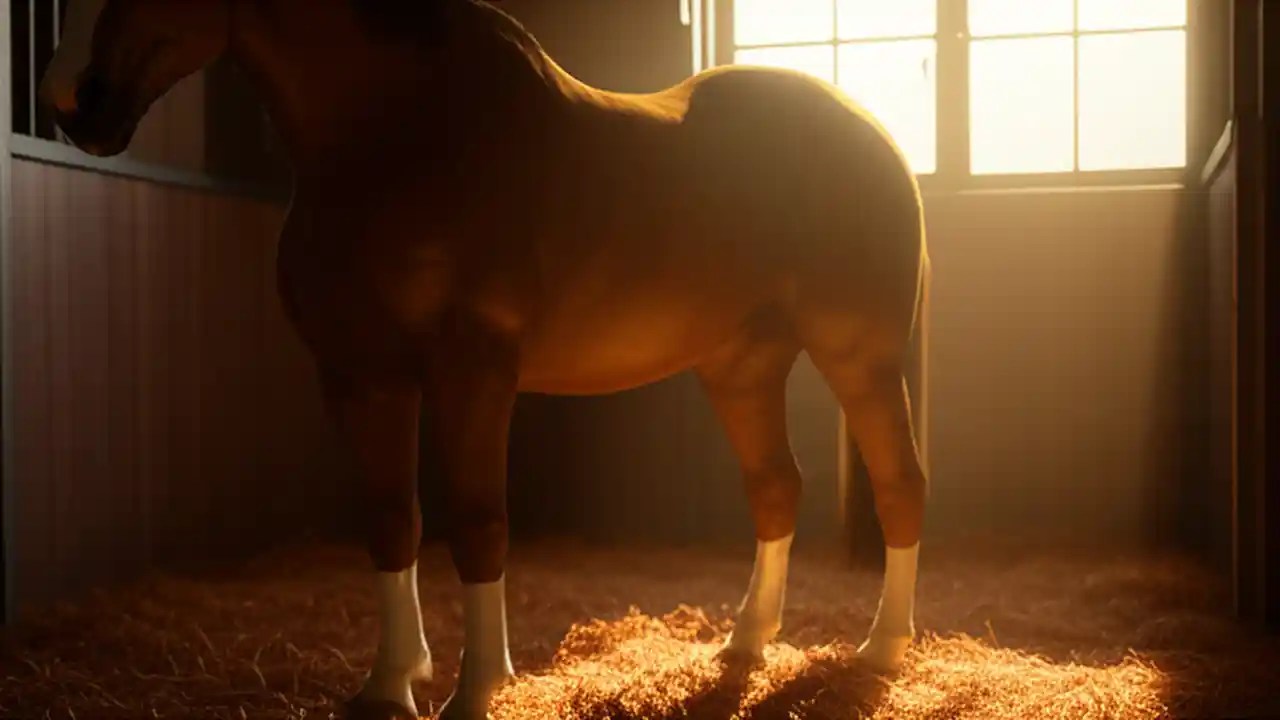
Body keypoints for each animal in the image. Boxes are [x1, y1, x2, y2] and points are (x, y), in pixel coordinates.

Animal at [40, 0, 930, 717]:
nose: (71, 99)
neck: (396, 134)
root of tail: (873, 130)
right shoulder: (362, 376)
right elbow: (394, 521)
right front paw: (390, 685)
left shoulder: (474, 372)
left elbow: (477, 524)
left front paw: (476, 691)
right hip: (741, 366)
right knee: (776, 488)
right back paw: (746, 644)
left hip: (858, 353)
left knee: (899, 487)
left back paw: (881, 651)